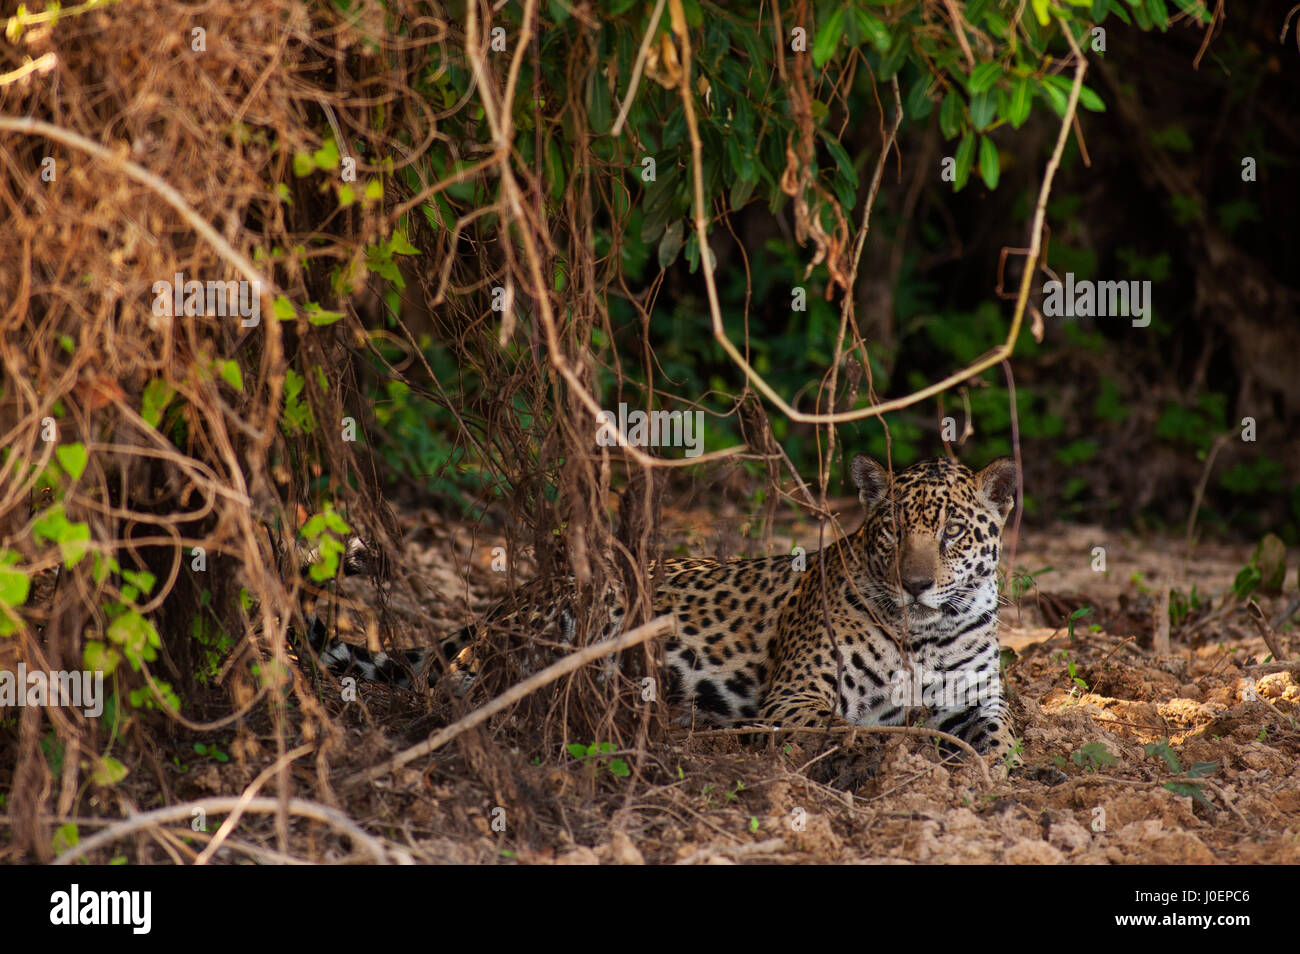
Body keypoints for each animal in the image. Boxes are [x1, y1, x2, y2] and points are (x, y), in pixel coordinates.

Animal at [307, 453, 1019, 762]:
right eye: (893, 531)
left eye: (953, 532)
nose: (916, 585)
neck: (921, 636)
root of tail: (511, 597)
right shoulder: (796, 697)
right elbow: (854, 726)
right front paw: (907, 739)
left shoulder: (979, 695)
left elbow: (1001, 735)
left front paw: (988, 764)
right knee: (481, 687)